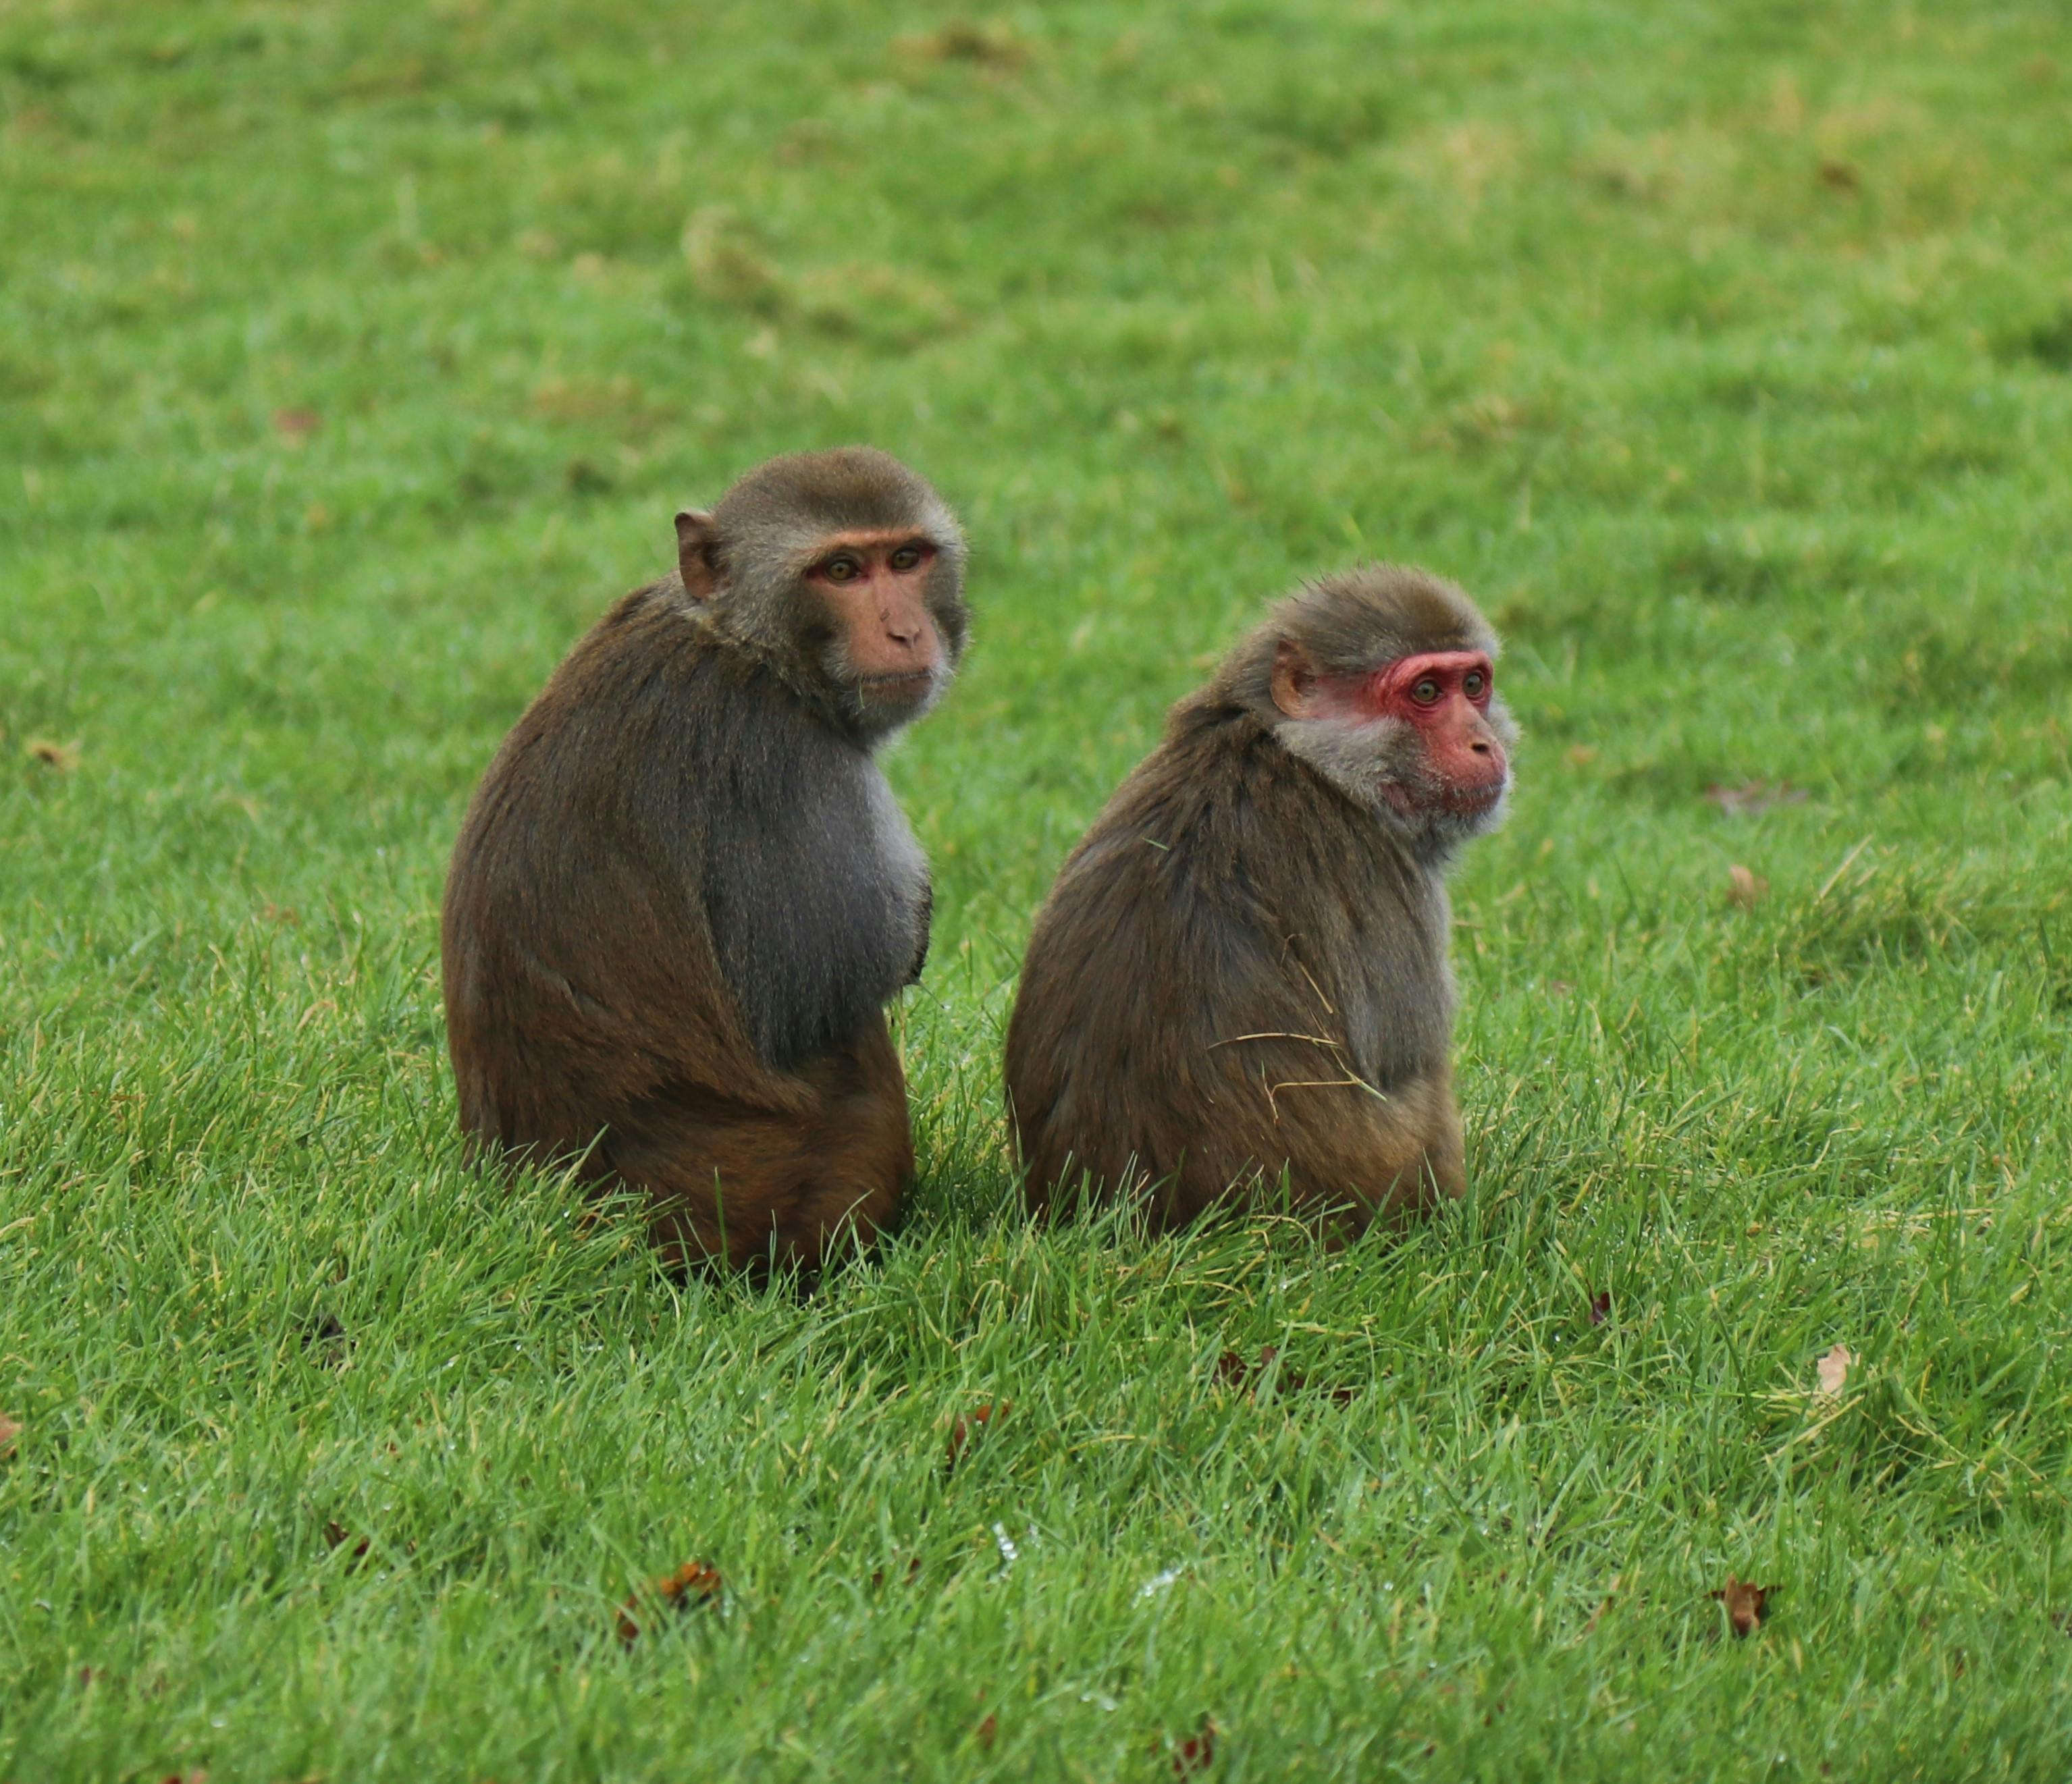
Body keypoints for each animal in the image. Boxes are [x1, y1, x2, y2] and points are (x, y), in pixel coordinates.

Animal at [440, 447, 968, 1272]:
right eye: (842, 571)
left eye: (906, 560)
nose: (905, 631)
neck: (741, 642)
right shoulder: (778, 757)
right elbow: (812, 989)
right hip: (776, 1191)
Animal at [1002, 564, 1516, 1235]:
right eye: (1426, 692)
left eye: (1473, 684)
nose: (1483, 744)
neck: (1299, 754)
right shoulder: (1383, 870)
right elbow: (1405, 1059)